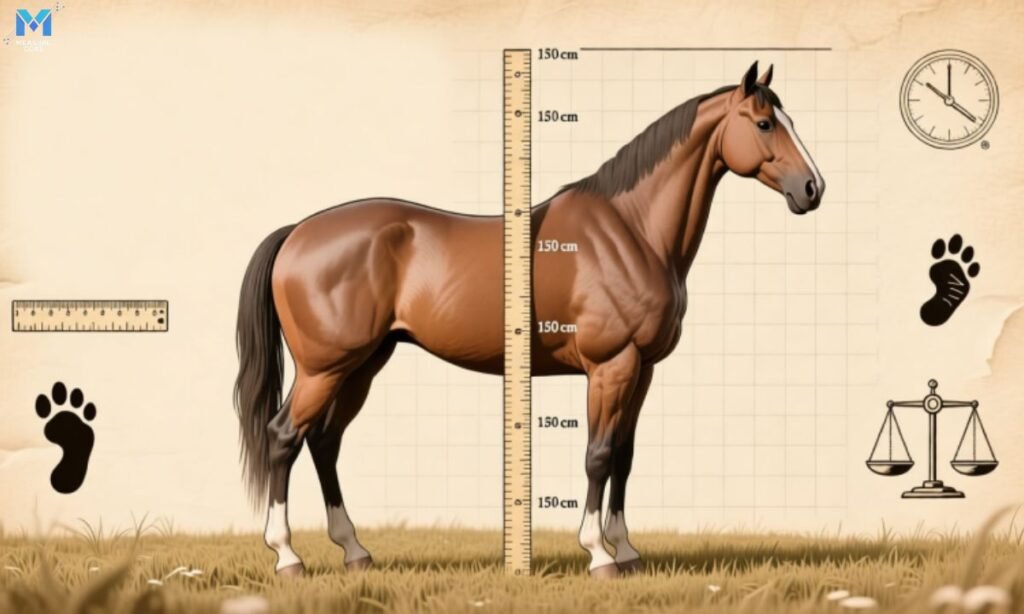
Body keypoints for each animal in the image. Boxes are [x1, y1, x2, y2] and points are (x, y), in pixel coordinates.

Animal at [234, 61, 824, 579]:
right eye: (765, 123)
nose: (812, 189)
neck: (631, 231)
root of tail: (297, 231)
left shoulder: (643, 370)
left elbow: (625, 456)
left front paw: (628, 551)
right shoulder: (611, 367)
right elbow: (599, 455)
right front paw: (599, 556)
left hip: (361, 366)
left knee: (324, 441)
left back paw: (354, 550)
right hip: (324, 368)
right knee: (284, 437)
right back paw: (287, 557)